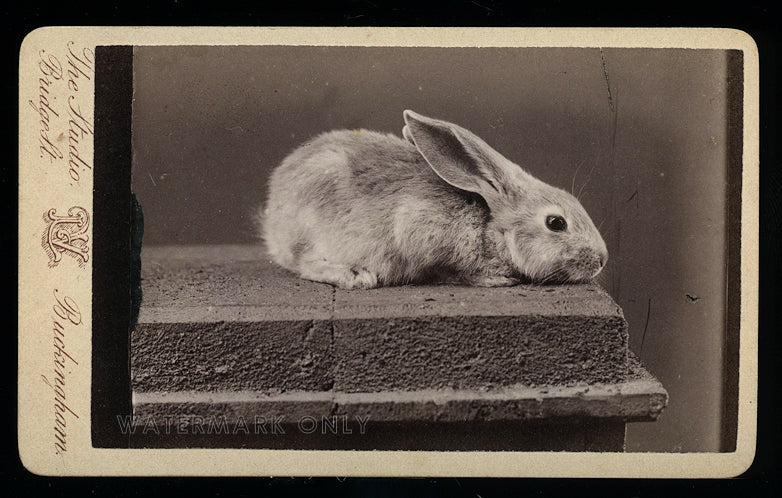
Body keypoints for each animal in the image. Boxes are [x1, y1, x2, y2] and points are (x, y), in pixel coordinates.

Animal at [259, 110, 608, 289]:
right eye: (556, 223)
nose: (602, 259)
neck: (490, 229)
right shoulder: (419, 230)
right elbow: (452, 269)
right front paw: (495, 278)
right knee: (305, 263)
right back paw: (354, 276)